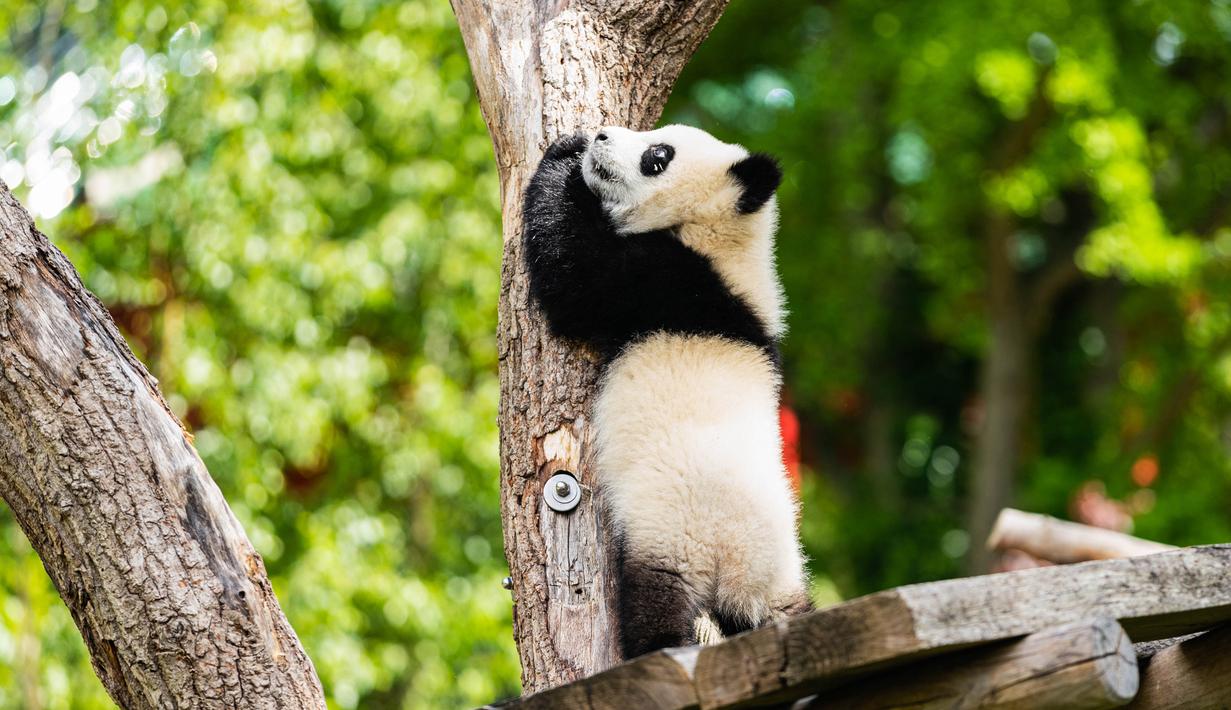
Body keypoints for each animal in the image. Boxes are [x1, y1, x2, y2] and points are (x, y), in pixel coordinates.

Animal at [522, 124, 811, 661]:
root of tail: (734, 563)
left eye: (658, 157)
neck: (724, 237)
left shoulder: (666, 283)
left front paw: (565, 158)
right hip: (781, 573)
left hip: (671, 532)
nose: (601, 134)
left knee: (654, 605)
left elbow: (576, 280)